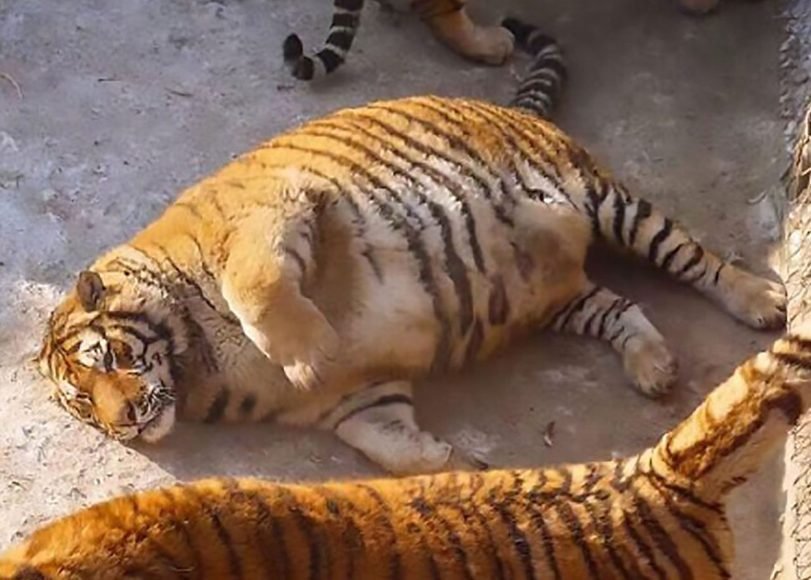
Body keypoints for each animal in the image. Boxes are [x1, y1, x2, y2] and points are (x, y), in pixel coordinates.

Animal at [36, 17, 785, 477]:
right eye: (84, 403)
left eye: (109, 358)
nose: (126, 423)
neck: (197, 366)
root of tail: (513, 106)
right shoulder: (357, 399)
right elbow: (392, 450)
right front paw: (454, 463)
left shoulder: (270, 215)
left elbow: (260, 289)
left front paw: (309, 352)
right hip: (560, 300)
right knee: (620, 307)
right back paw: (654, 368)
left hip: (606, 200)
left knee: (694, 258)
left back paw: (762, 299)